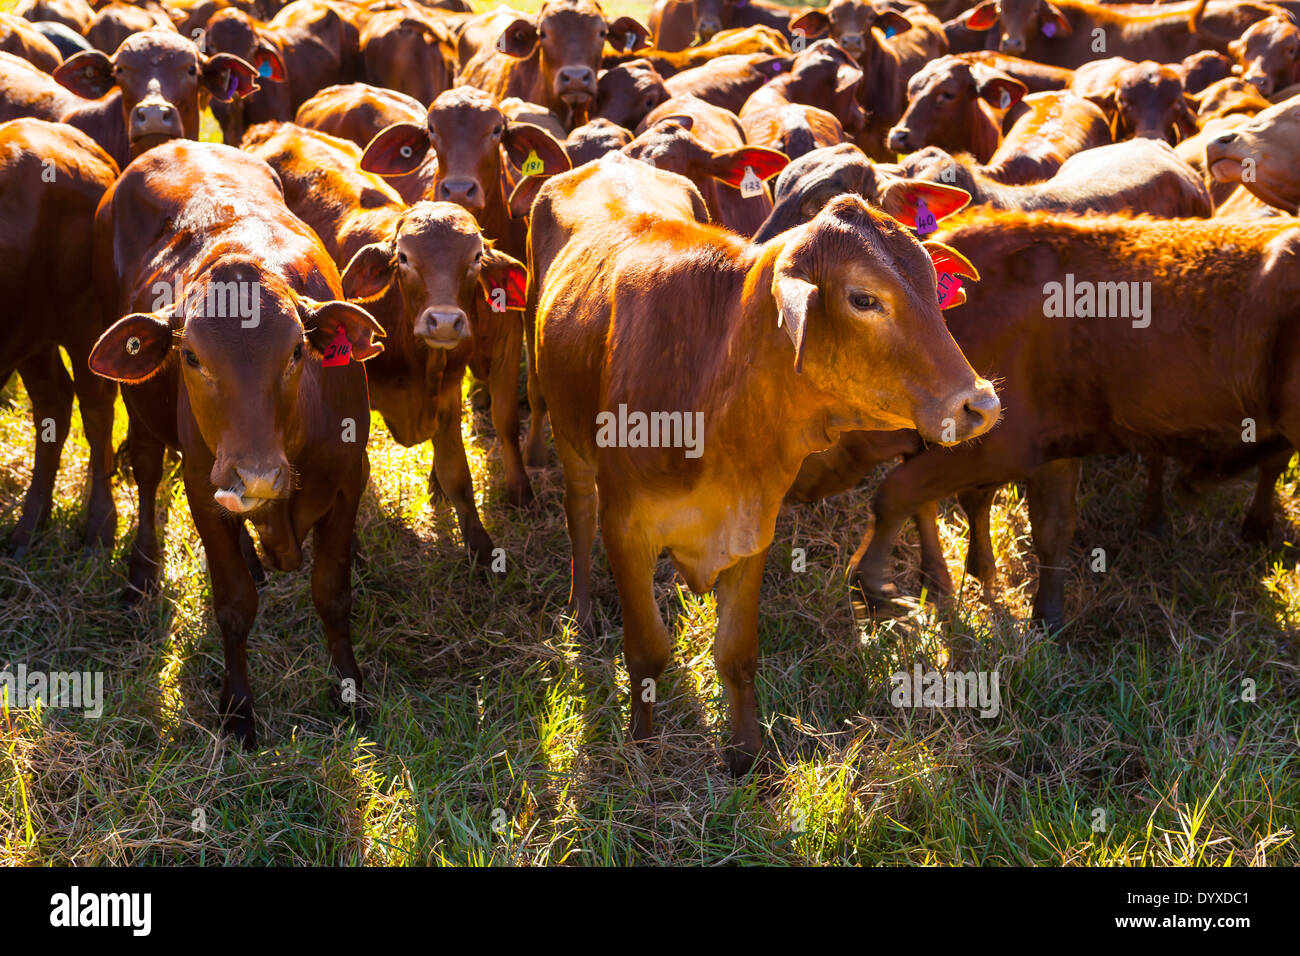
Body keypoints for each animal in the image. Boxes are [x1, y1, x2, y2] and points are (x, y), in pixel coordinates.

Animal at [0, 118, 119, 558]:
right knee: (53, 403)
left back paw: (99, 531)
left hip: (86, 325)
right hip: (31, 337)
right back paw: (29, 529)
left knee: (96, 410)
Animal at [87, 140, 385, 746]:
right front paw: (239, 709)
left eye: (296, 351)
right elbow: (233, 605)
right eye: (191, 356)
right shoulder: (205, 492)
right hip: (141, 411)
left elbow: (332, 594)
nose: (257, 476)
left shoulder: (350, 480)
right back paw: (142, 573)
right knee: (148, 473)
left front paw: (351, 692)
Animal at [528, 152, 998, 773]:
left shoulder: (751, 529)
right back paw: (581, 610)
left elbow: (737, 654)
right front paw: (644, 745)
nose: (981, 403)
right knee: (578, 510)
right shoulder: (626, 528)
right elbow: (648, 650)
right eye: (864, 298)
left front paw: (747, 754)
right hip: (566, 430)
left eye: (929, 280)